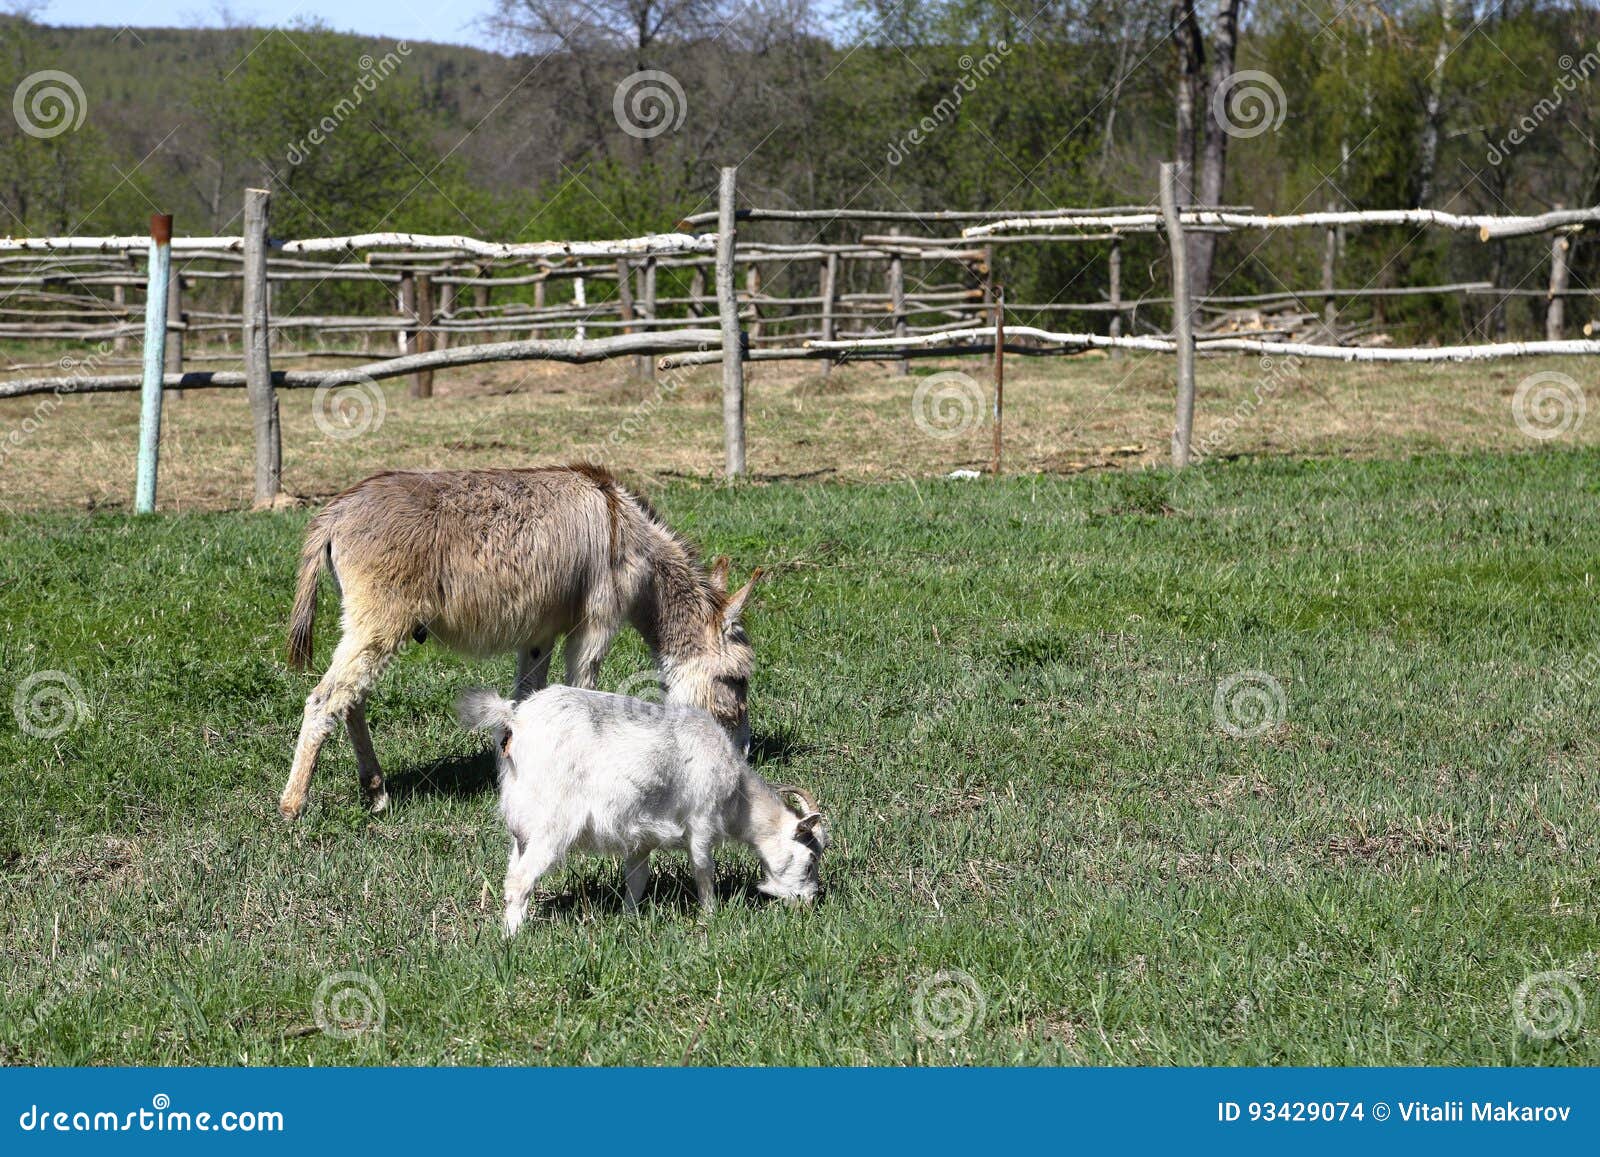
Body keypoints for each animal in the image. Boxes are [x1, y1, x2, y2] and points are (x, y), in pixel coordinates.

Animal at [279, 464, 762, 819]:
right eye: (736, 679)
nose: (742, 754)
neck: (625, 528)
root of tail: (337, 509)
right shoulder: (595, 626)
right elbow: (584, 692)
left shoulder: (539, 634)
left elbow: (527, 697)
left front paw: (518, 765)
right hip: (380, 623)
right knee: (324, 701)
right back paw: (292, 806)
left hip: (367, 626)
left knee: (351, 700)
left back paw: (376, 794)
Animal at [456, 685, 828, 932]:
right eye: (810, 860)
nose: (810, 903)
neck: (739, 798)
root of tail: (515, 721)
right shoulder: (702, 820)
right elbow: (703, 868)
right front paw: (710, 915)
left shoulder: (640, 837)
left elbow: (636, 879)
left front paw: (629, 919)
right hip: (551, 825)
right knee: (519, 881)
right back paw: (513, 940)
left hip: (521, 828)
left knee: (512, 875)